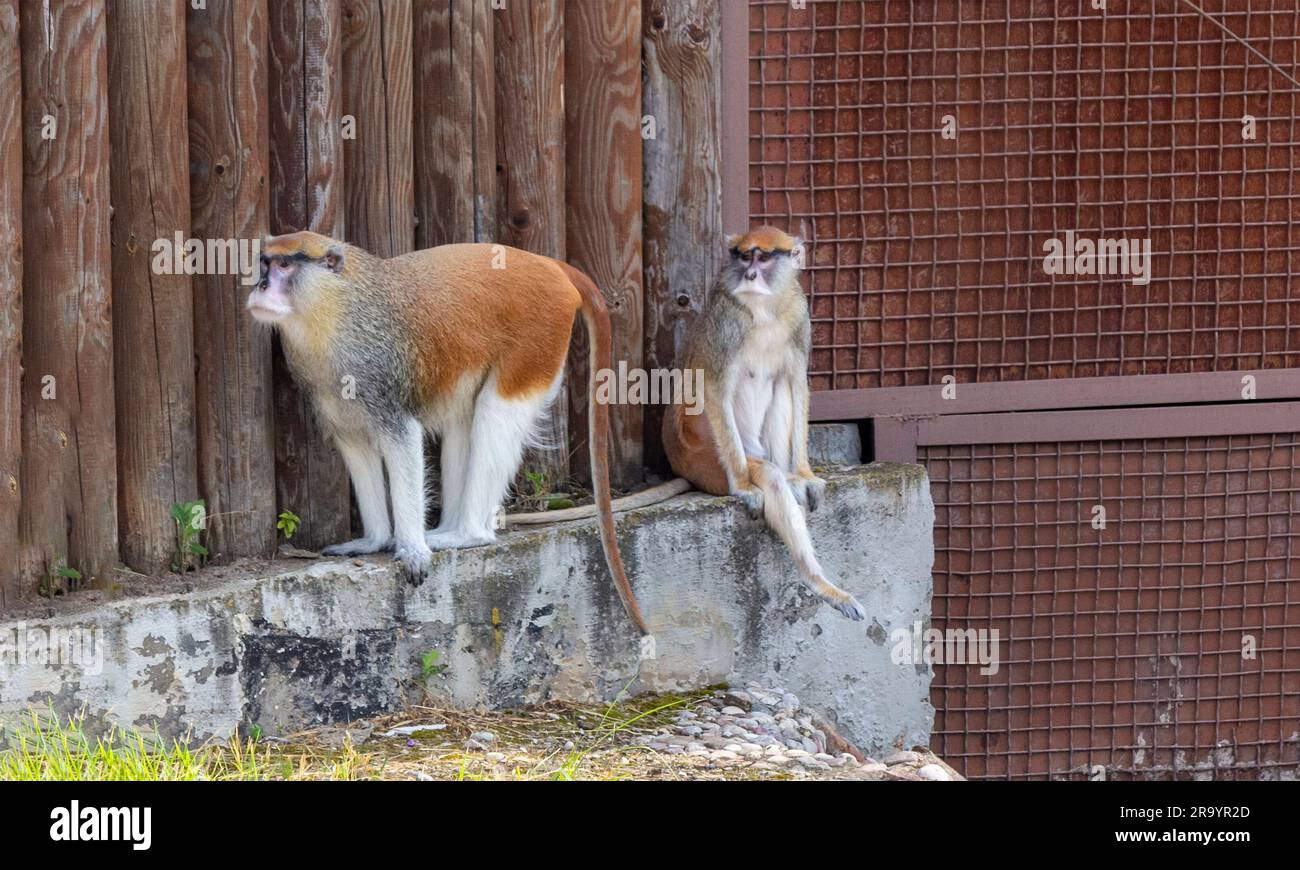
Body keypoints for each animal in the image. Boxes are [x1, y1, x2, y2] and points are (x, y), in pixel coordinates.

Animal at [246, 231, 649, 636]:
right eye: (265, 263)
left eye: (285, 265)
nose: (261, 285)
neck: (334, 306)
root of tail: (548, 264)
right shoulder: (329, 391)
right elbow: (356, 446)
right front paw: (373, 541)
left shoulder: (379, 377)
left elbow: (404, 440)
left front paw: (412, 549)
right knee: (463, 420)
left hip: (538, 342)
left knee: (494, 413)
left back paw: (466, 534)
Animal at [662, 226, 866, 621]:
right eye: (743, 256)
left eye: (764, 258)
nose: (750, 274)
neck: (766, 309)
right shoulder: (726, 323)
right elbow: (715, 389)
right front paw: (744, 485)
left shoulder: (799, 317)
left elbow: (796, 383)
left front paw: (804, 475)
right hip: (705, 462)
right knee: (767, 475)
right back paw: (818, 583)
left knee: (780, 387)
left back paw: (791, 478)